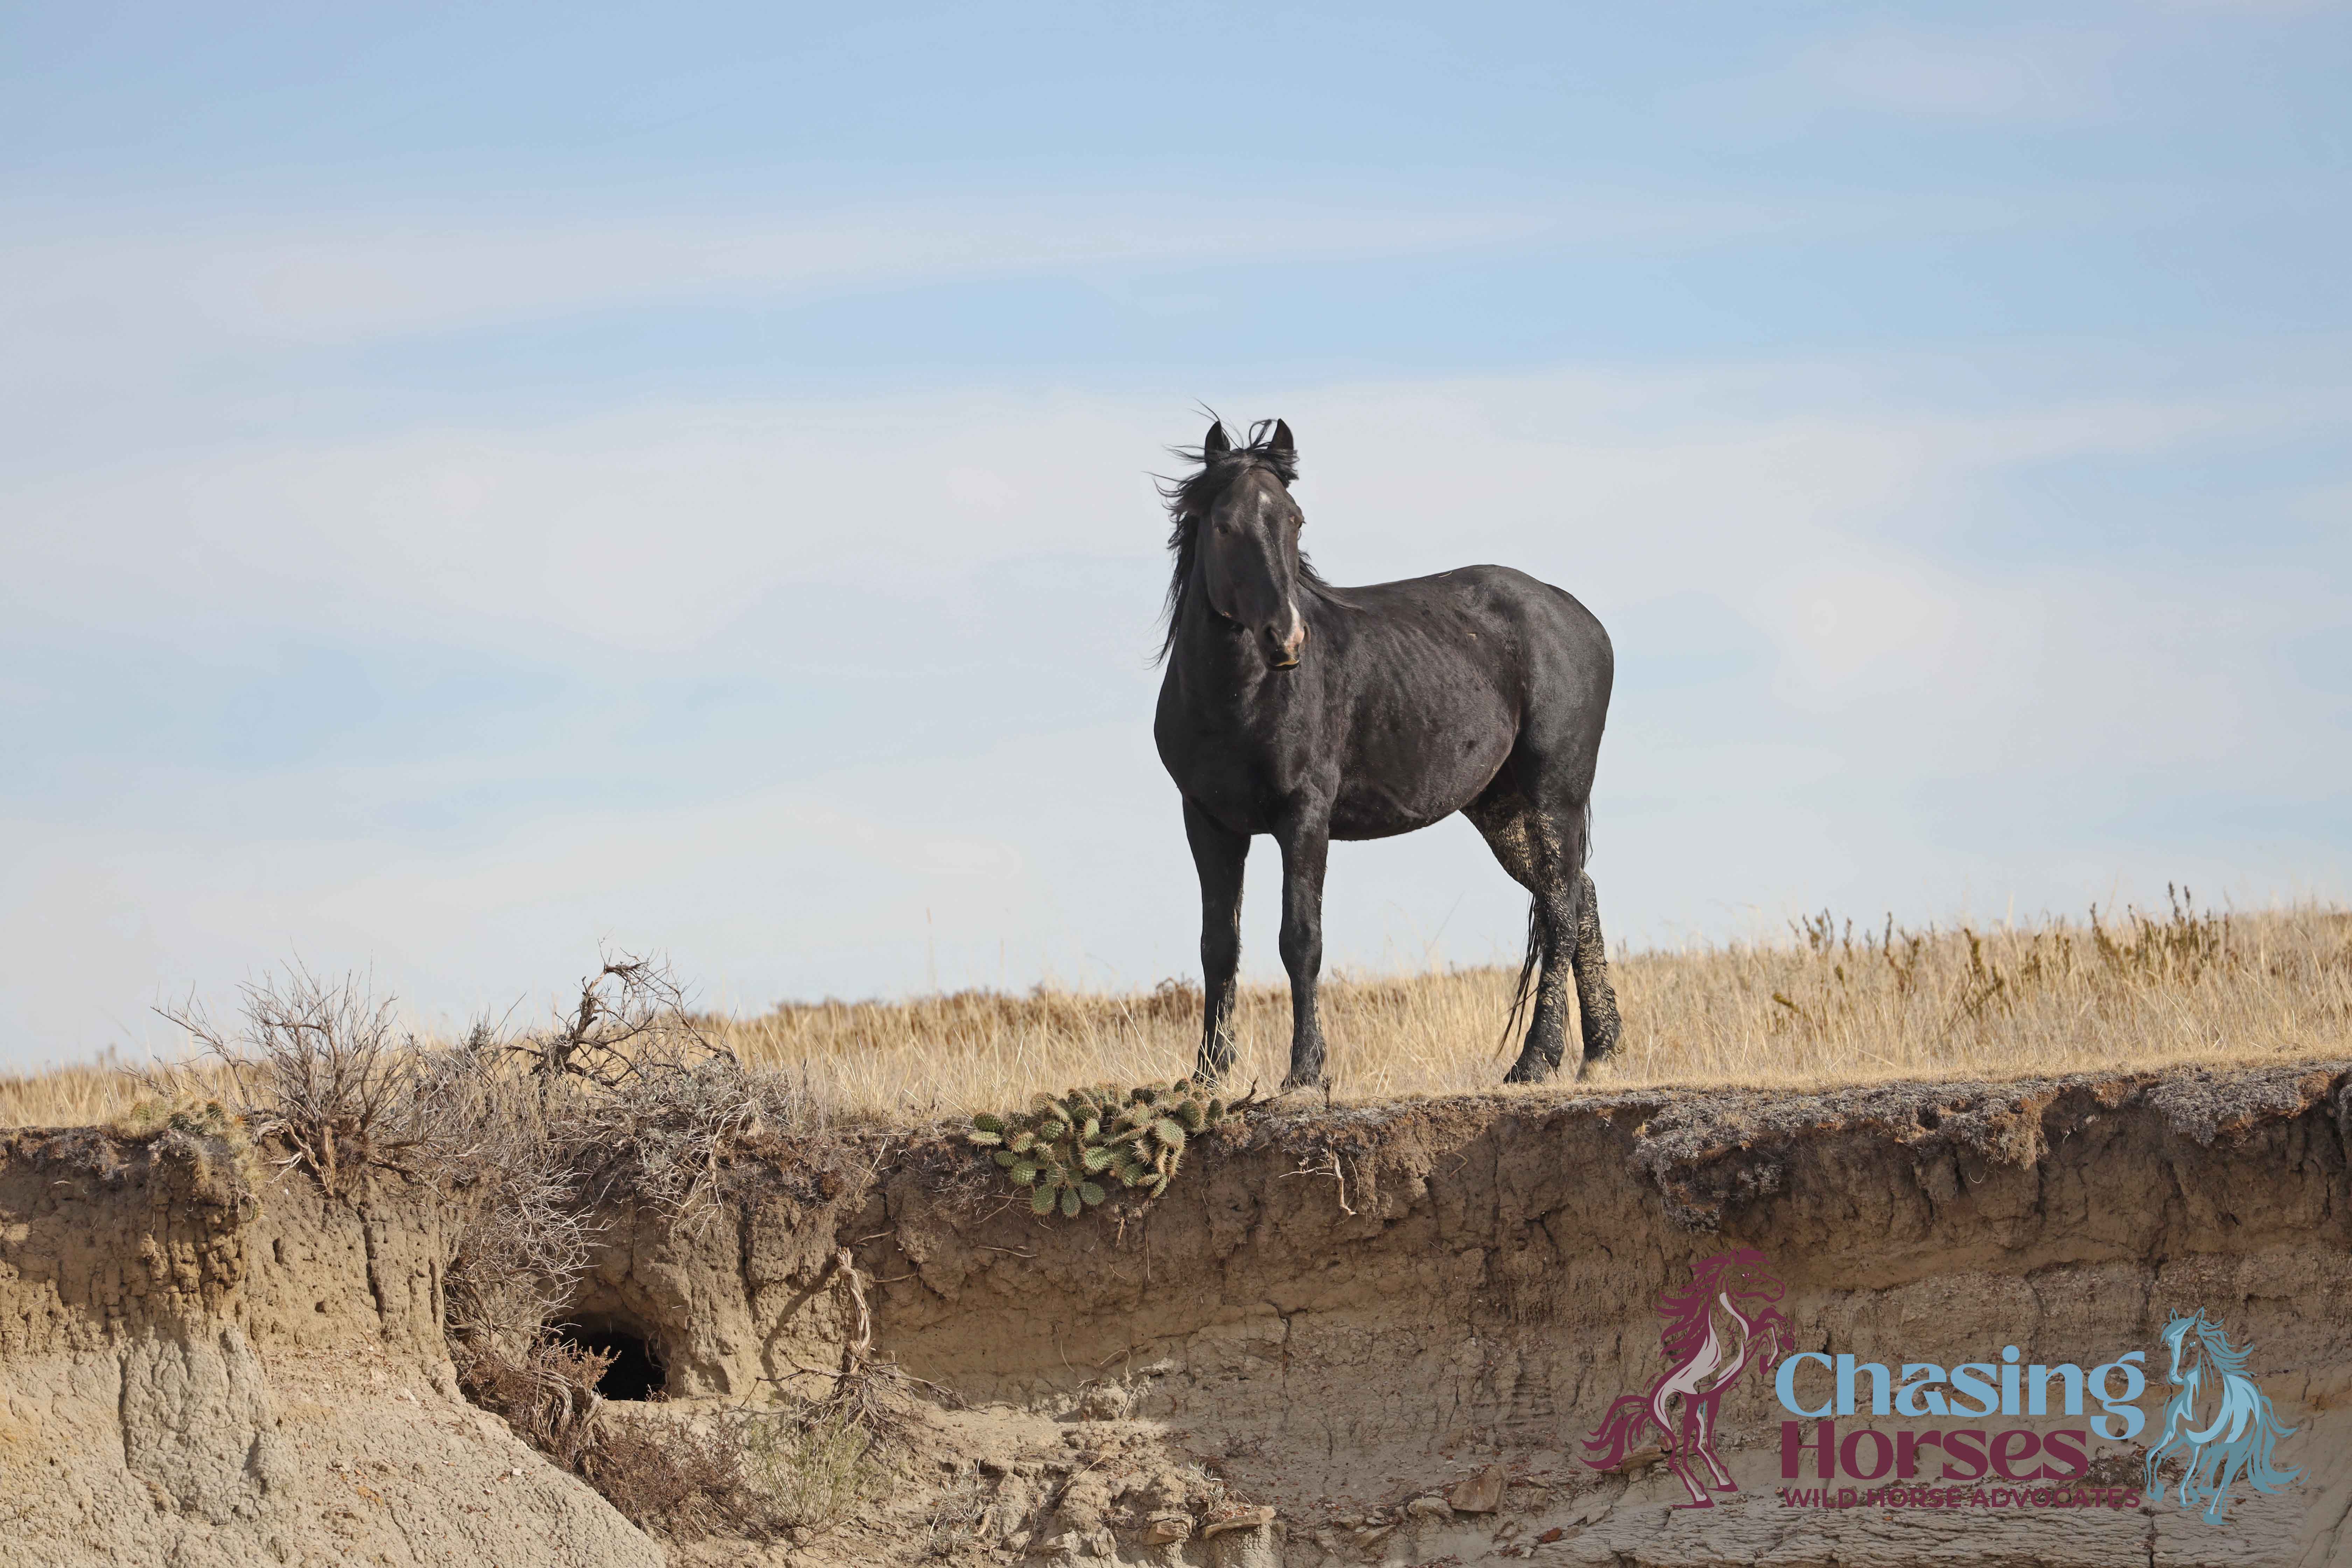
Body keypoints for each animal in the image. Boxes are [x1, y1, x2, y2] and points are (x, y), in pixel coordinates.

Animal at [1152, 417, 1622, 1090]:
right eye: (1223, 525)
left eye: (1295, 520)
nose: (1286, 637)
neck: (1238, 701)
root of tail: (1577, 617)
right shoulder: (1209, 822)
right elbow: (1218, 946)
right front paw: (1209, 1074)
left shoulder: (1304, 818)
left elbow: (1301, 939)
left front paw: (1305, 1073)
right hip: (1500, 810)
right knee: (1580, 896)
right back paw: (1599, 1053)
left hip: (1554, 795)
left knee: (1559, 910)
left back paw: (1536, 1061)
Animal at [1582, 1248, 1792, 1509]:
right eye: (1747, 1273)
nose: (1779, 1290)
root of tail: (1650, 1404)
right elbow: (1766, 1328)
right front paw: (1771, 1357)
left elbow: (1768, 1321)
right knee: (1677, 1459)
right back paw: (1702, 1496)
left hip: (1696, 1416)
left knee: (1696, 1447)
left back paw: (1721, 1484)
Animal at [2143, 1309, 2301, 1522]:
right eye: (2169, 1343)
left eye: (2192, 1343)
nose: (2176, 1376)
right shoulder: (2177, 1436)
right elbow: (2155, 1455)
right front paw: (2158, 1491)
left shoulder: (2201, 1444)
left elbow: (2192, 1468)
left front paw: (2186, 1496)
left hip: (2232, 1446)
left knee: (2225, 1473)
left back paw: (2212, 1511)